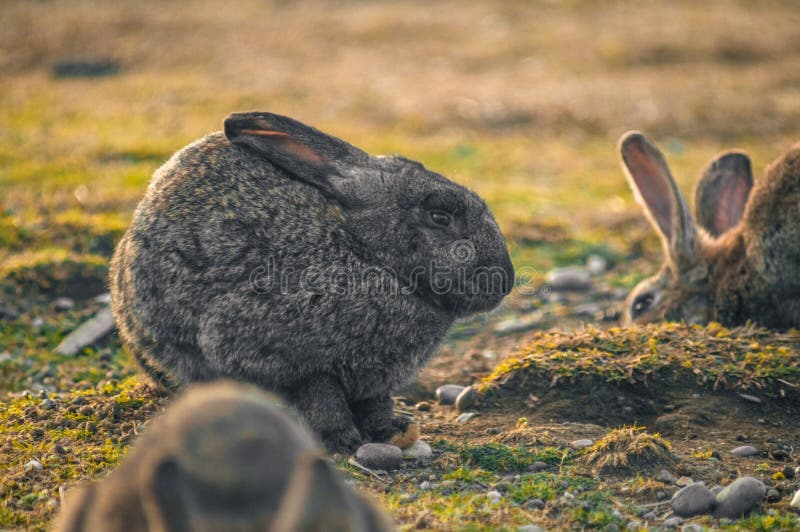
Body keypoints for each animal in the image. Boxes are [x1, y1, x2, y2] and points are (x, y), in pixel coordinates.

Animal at [110, 111, 514, 453]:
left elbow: (376, 405)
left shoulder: (375, 382)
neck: (369, 254)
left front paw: (393, 431)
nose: (505, 282)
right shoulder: (288, 361)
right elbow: (323, 398)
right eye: (440, 217)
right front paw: (344, 441)